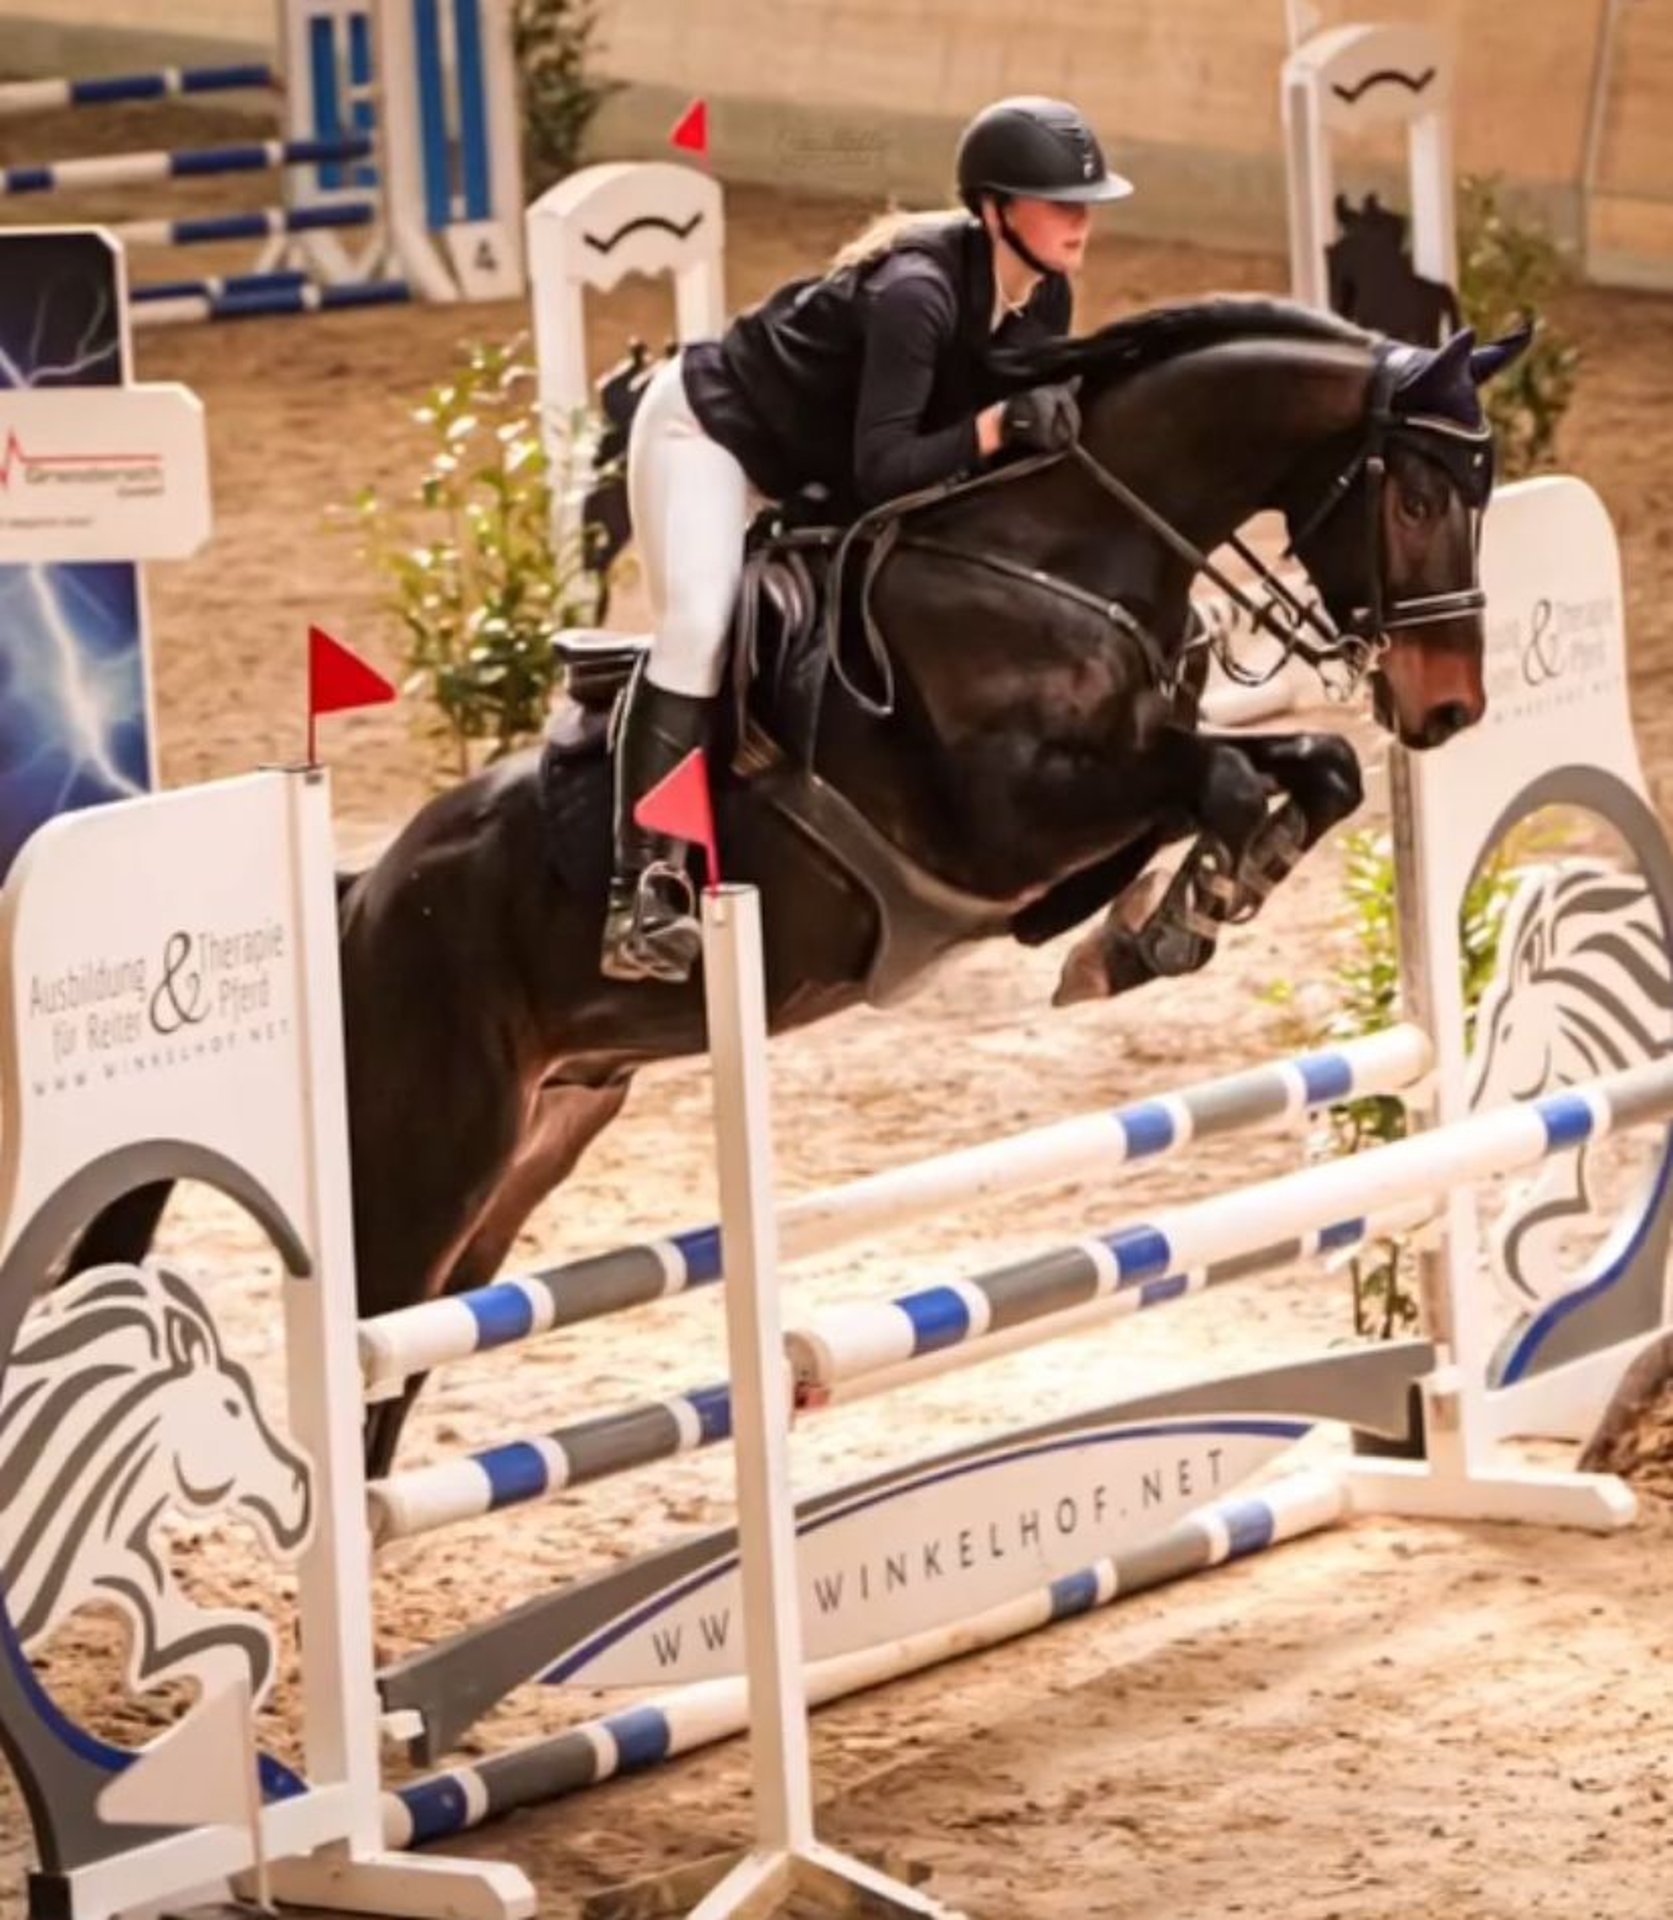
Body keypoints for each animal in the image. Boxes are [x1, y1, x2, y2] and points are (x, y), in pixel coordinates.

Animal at [74, 298, 1526, 1474]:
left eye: (1486, 492)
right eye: (1410, 498)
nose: (1449, 711)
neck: (1061, 550)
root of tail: (358, 901)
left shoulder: (1097, 802)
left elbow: (1307, 768)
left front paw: (1176, 917)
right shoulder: (1009, 829)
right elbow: (1217, 783)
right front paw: (1157, 924)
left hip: (526, 1157)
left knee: (403, 1380)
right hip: (425, 1159)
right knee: (367, 1356)